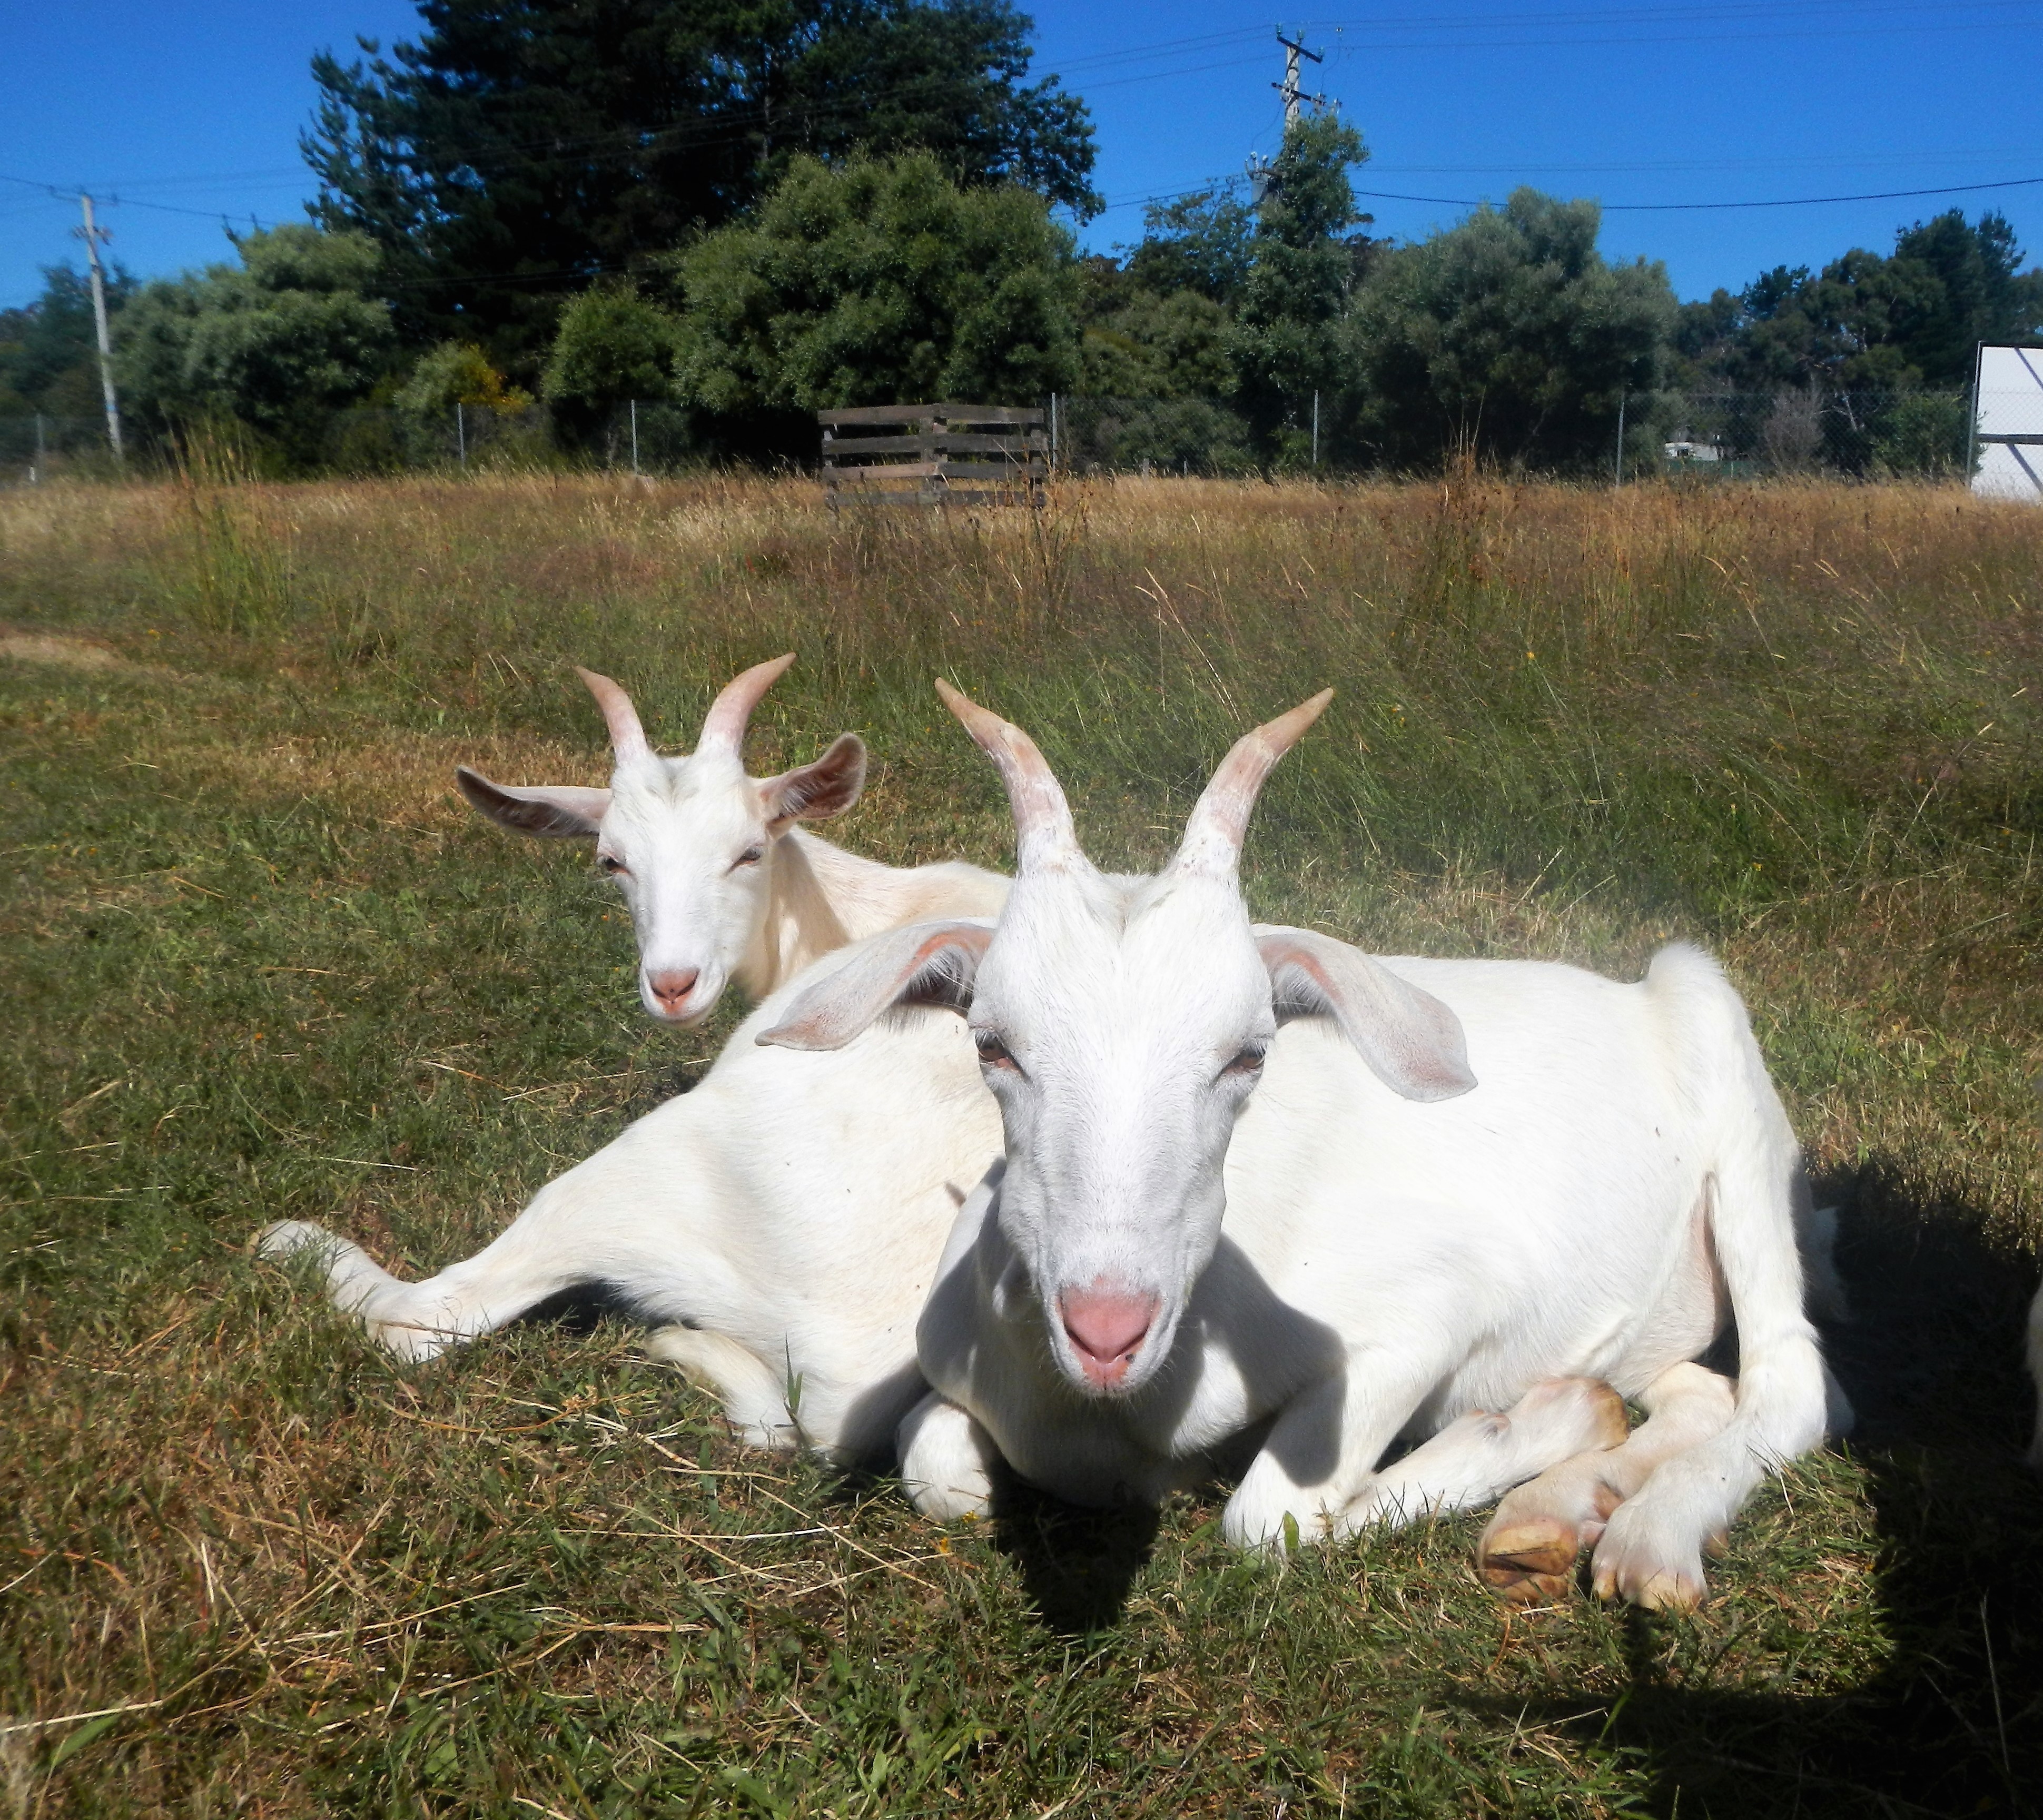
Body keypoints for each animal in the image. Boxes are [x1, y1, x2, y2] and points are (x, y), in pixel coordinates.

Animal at [756, 681, 1849, 1610]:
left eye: (1248, 1052)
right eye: (992, 1044)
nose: (1107, 1327)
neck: (1112, 1414)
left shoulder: (1430, 1307)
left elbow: (1269, 1518)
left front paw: (1540, 1421)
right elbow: (932, 1461)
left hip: (1729, 1085)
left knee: (1792, 1384)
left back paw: (1645, 1539)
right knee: (1699, 1388)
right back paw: (1555, 1513)